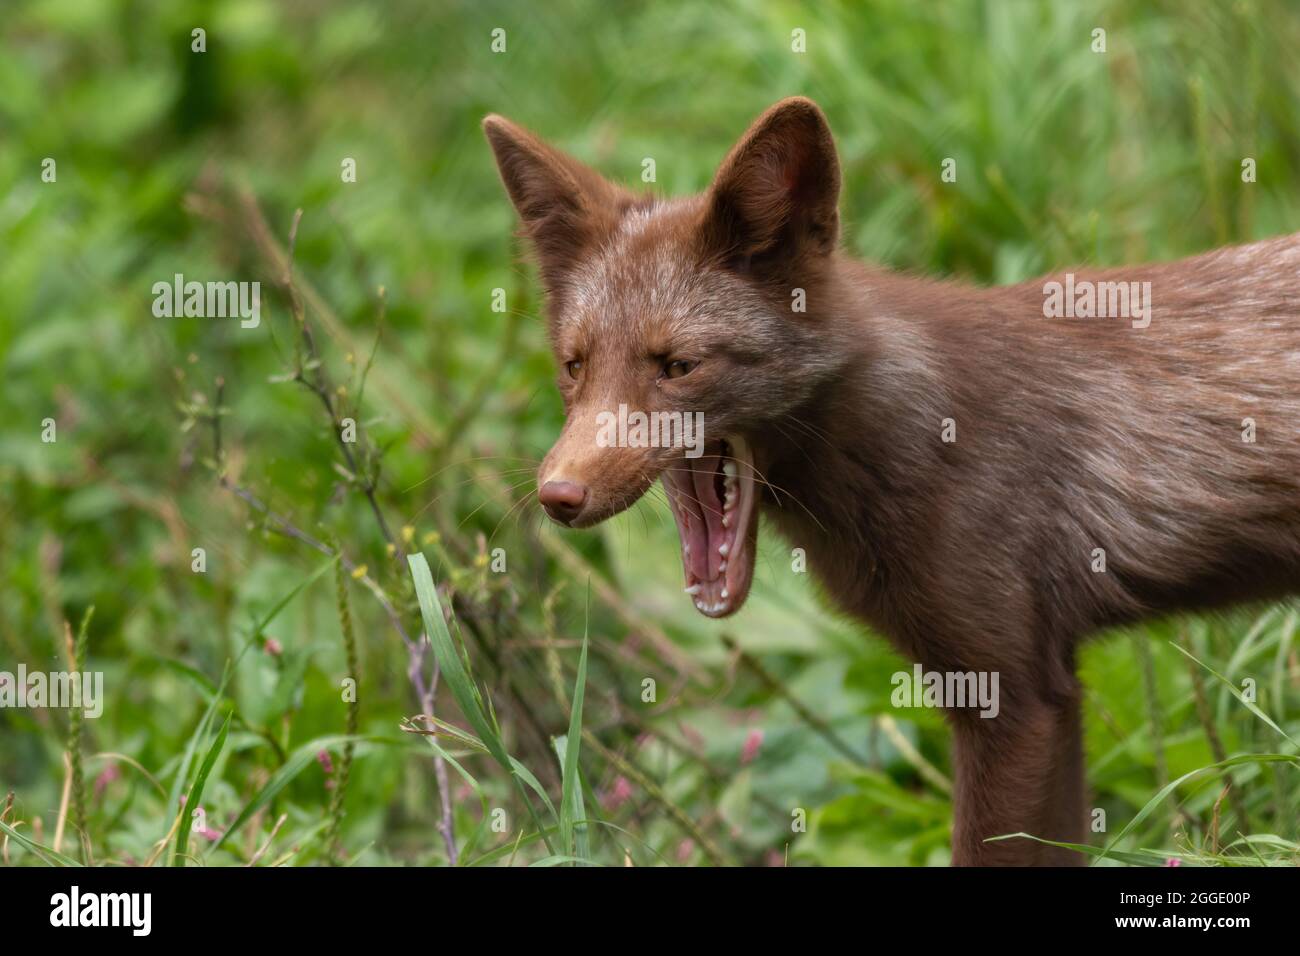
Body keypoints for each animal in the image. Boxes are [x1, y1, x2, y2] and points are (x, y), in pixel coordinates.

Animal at [482, 97, 1300, 865]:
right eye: (574, 366)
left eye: (678, 366)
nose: (556, 497)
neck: (915, 429)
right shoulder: (1049, 688)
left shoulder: (1013, 694)